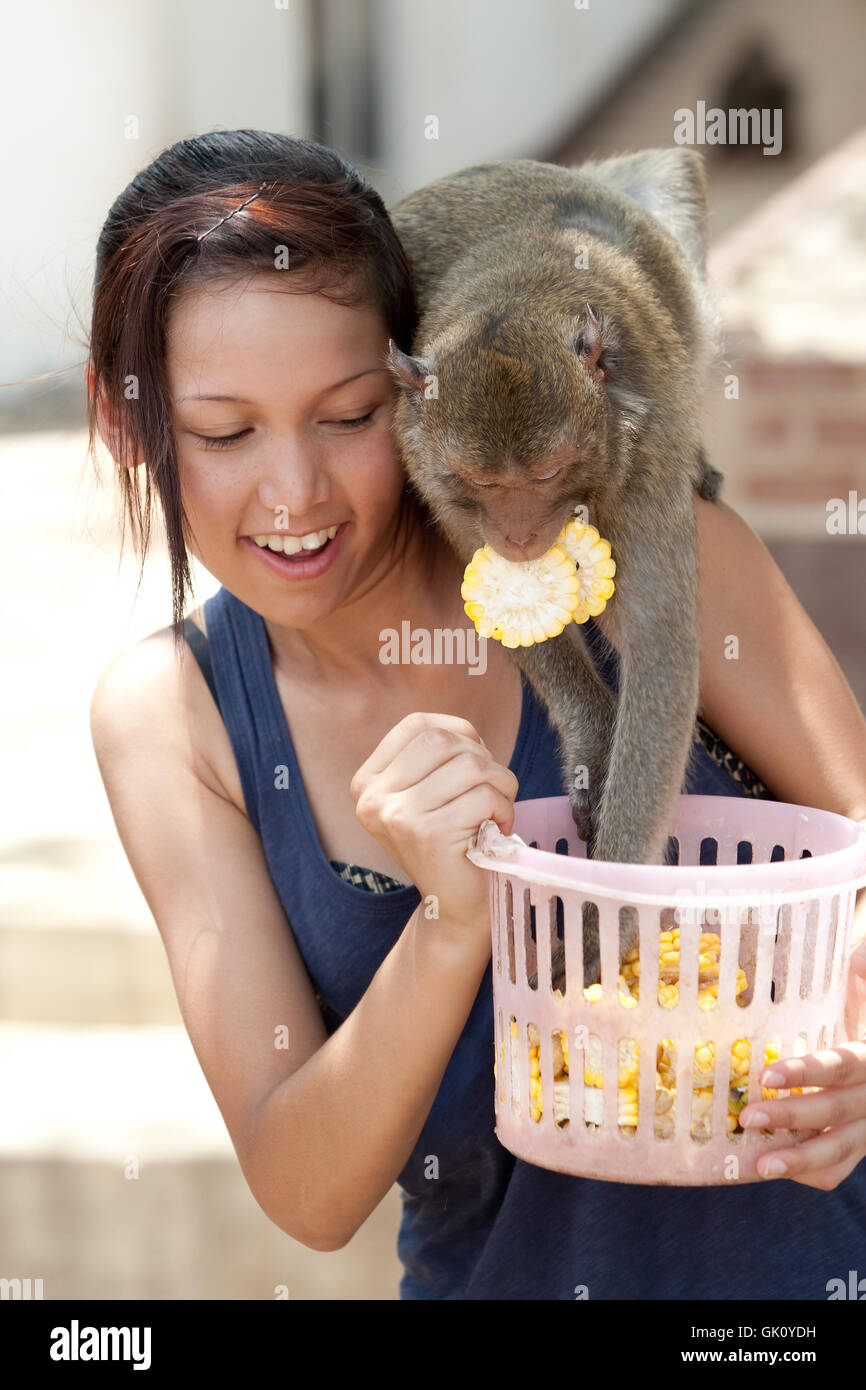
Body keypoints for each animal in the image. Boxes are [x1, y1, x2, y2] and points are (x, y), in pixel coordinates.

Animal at [384, 149, 724, 992]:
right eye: (476, 480)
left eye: (546, 474)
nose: (517, 534)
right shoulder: (423, 464)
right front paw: (594, 741)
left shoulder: (647, 451)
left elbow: (662, 643)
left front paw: (608, 914)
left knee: (668, 174)